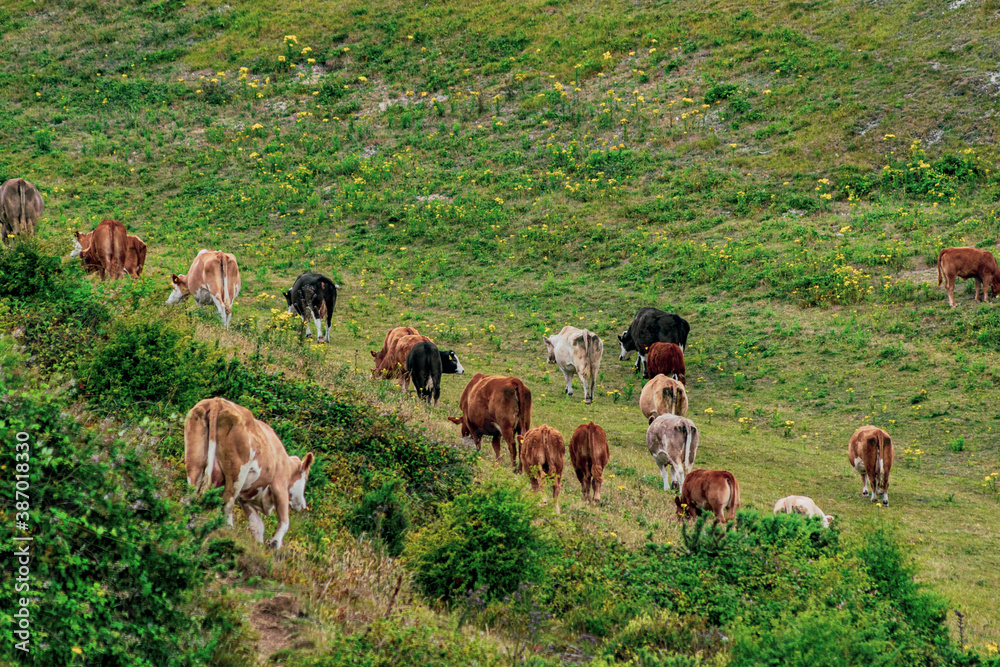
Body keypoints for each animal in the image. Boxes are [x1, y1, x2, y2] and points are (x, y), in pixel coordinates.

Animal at [184, 397, 315, 550]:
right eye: (305, 479)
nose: (303, 505)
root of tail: (217, 401)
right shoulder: (280, 487)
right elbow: (284, 521)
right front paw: (274, 543)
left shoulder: (246, 498)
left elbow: (256, 525)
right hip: (238, 471)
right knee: (227, 501)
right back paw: (228, 530)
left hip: (195, 457)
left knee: (191, 492)